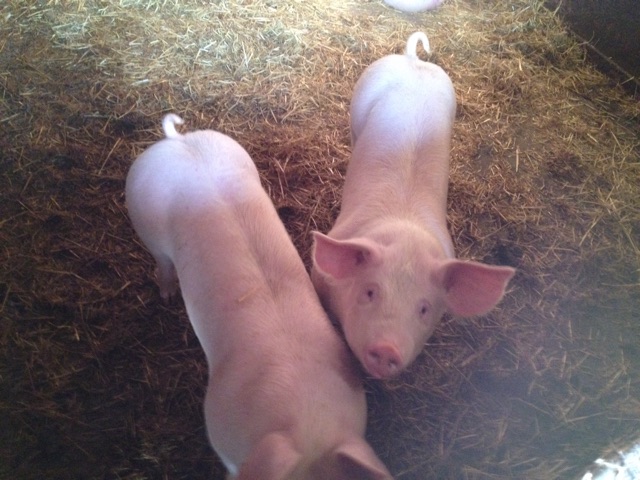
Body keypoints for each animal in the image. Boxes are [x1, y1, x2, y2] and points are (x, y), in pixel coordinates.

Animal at [125, 114, 393, 480]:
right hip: (143, 220)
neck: (305, 404)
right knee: (162, 263)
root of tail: (176, 141)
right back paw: (166, 295)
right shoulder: (217, 414)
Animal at [311, 32, 515, 379]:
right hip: (357, 108)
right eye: (370, 291)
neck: (404, 231)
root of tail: (412, 60)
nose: (386, 349)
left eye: (423, 308)